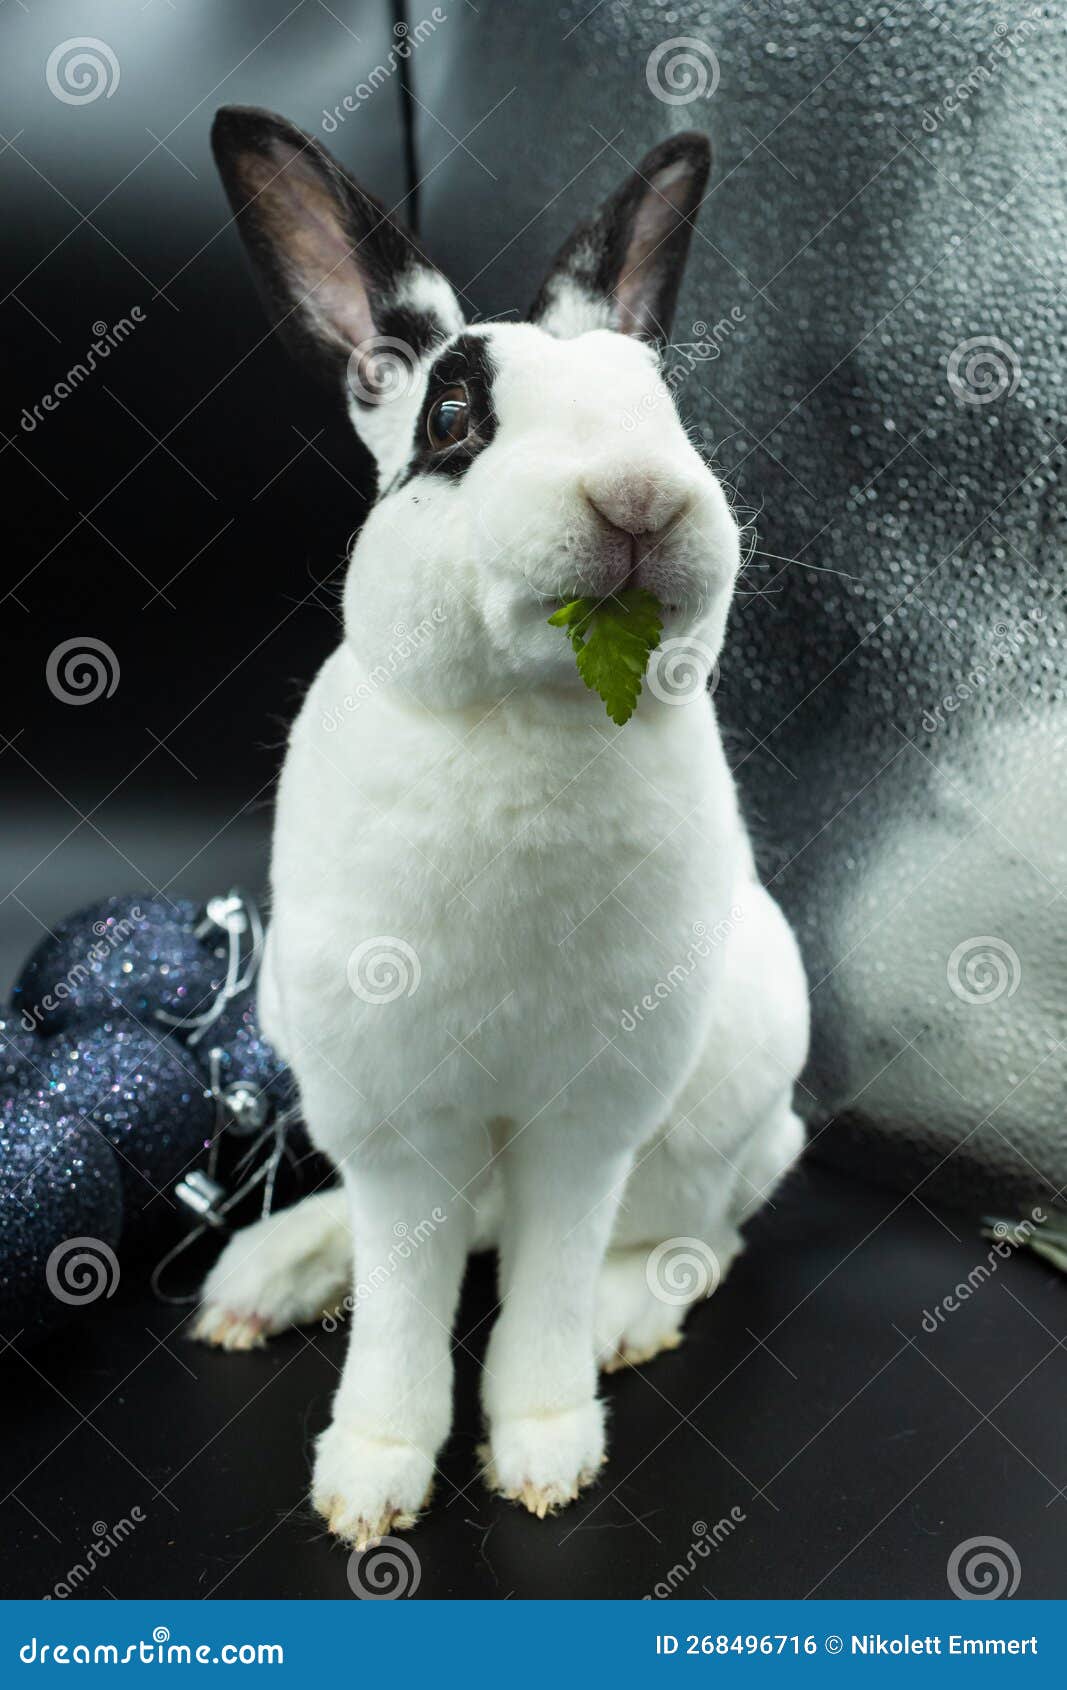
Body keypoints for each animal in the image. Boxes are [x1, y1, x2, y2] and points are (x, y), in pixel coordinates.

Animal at [193, 105, 810, 1550]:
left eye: (664, 409)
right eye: (455, 415)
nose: (639, 495)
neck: (534, 718)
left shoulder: (589, 1120)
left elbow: (543, 1289)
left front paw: (541, 1450)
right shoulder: (392, 1118)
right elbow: (407, 1297)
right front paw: (369, 1480)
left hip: (731, 1099)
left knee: (706, 1230)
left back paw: (624, 1317)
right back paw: (266, 1274)